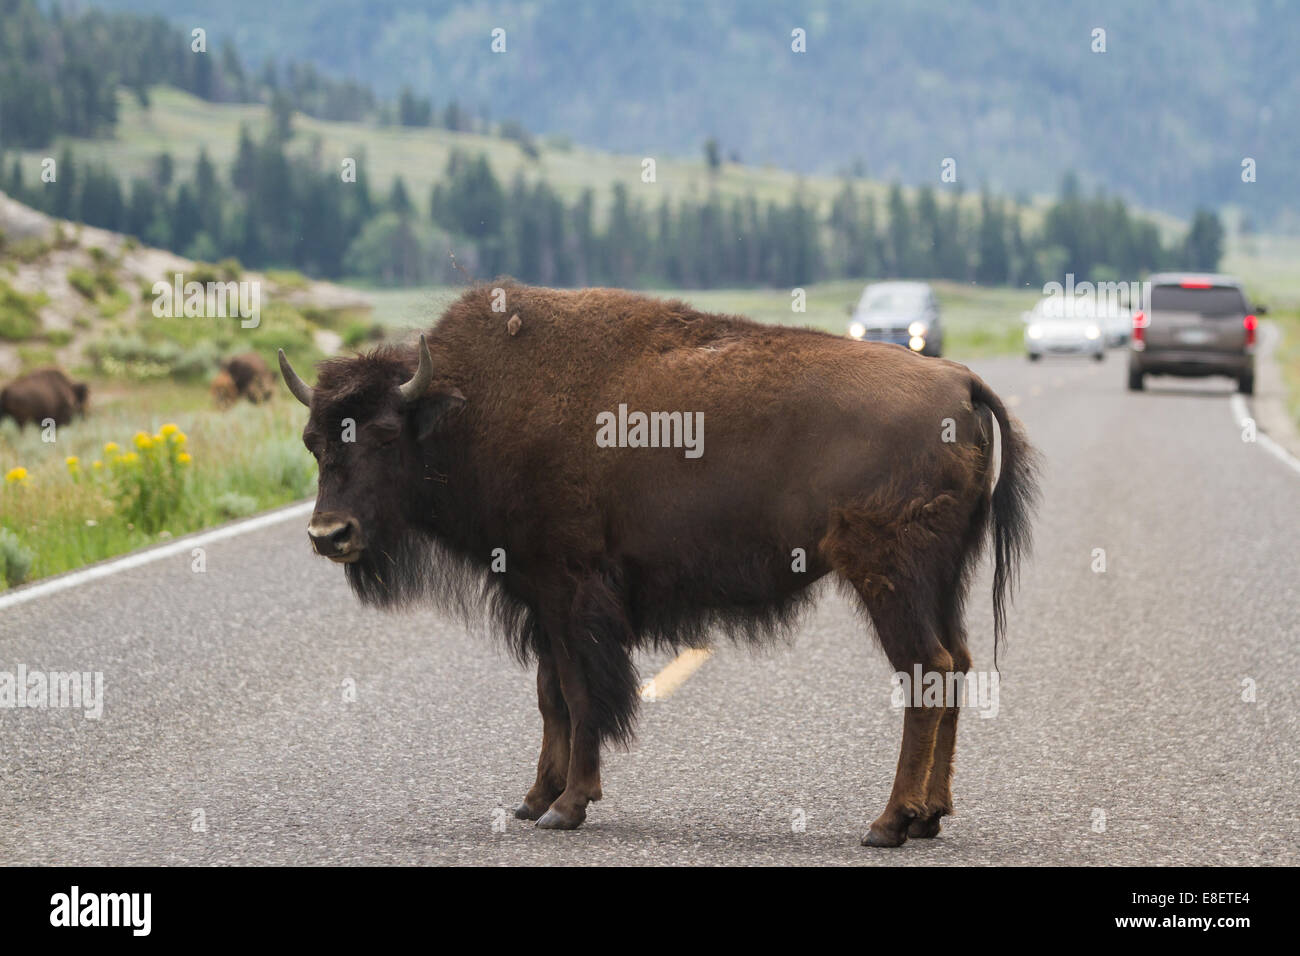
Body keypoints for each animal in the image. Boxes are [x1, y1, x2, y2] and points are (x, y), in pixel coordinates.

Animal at [279, 283, 1038, 846]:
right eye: (314, 440)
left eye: (383, 435)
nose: (329, 532)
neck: (467, 411)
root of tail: (960, 381)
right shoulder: (541, 600)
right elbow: (550, 695)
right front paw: (534, 800)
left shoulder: (570, 592)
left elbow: (582, 693)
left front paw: (569, 805)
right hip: (943, 579)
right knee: (956, 664)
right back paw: (931, 816)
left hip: (891, 579)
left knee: (924, 670)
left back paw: (888, 823)